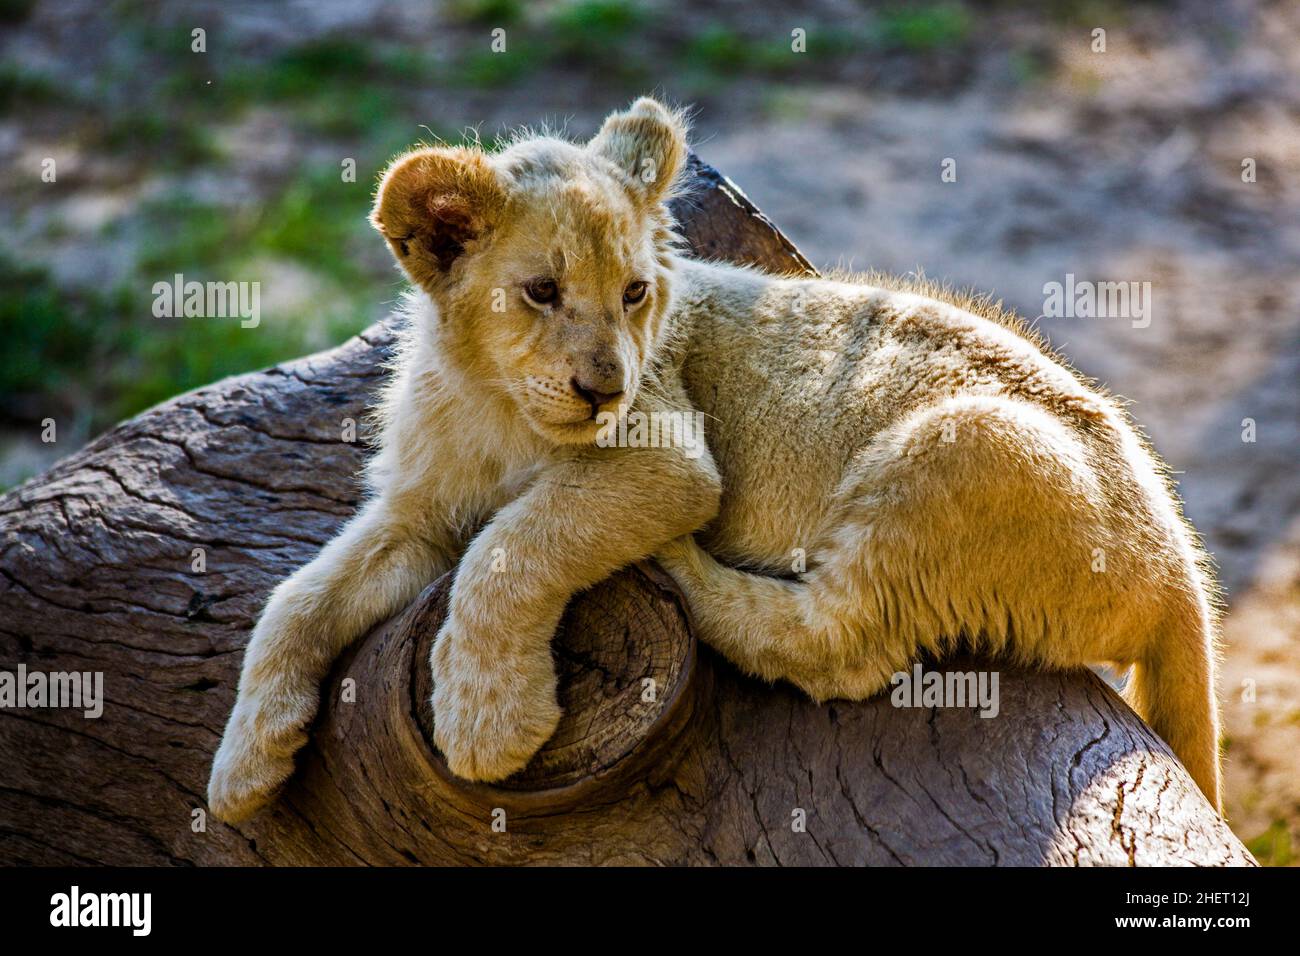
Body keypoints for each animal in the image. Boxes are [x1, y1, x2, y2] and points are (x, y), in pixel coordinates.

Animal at [208, 97, 1222, 822]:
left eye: (634, 293)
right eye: (541, 292)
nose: (604, 389)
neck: (494, 402)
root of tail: (1178, 562)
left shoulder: (668, 457)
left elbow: (510, 546)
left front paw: (488, 718)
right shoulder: (416, 513)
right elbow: (297, 599)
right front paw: (242, 771)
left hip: (963, 444)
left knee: (838, 644)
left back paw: (687, 570)